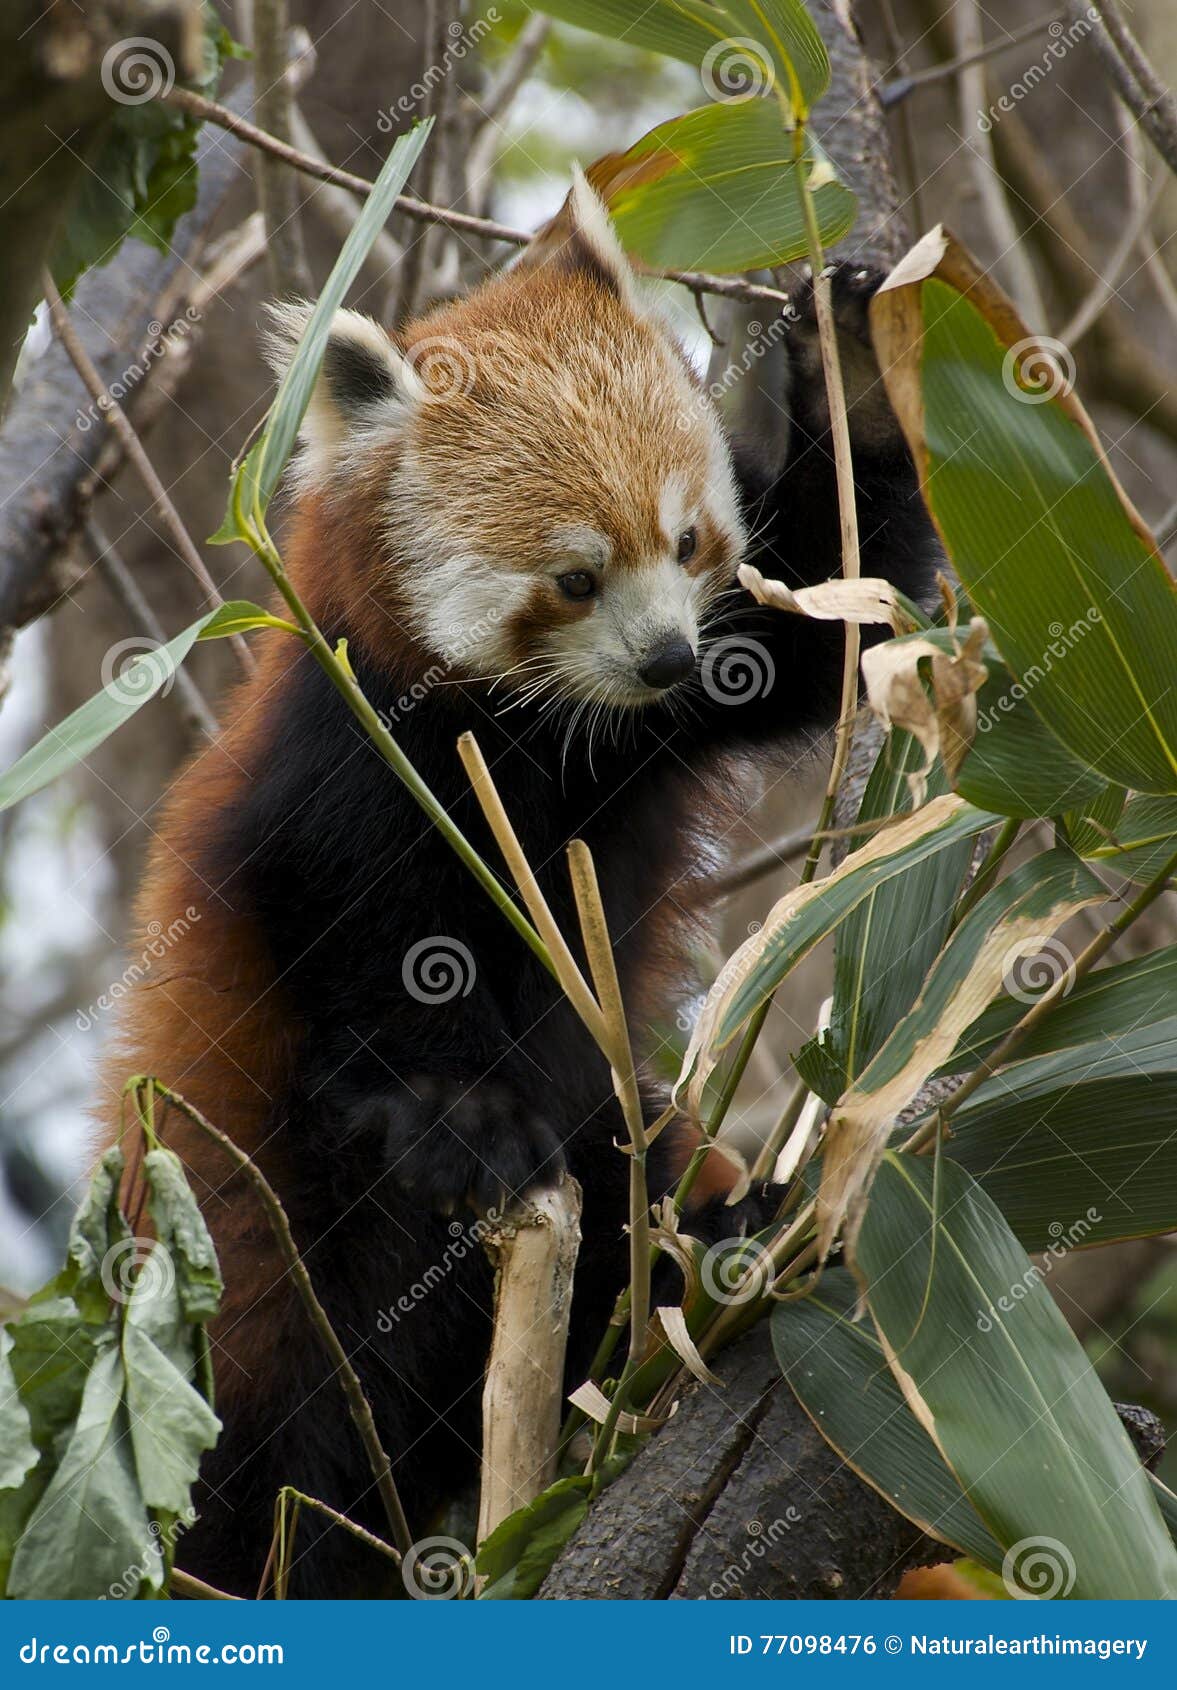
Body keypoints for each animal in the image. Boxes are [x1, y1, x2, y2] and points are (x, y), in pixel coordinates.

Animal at [101, 174, 937, 1597]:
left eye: (686, 539)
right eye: (574, 576)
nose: (664, 657)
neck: (537, 736)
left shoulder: (664, 722)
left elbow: (824, 614)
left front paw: (858, 376)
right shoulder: (347, 762)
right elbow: (368, 947)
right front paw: (459, 1116)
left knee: (620, 1182)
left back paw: (720, 1242)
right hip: (245, 1281)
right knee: (266, 1454)